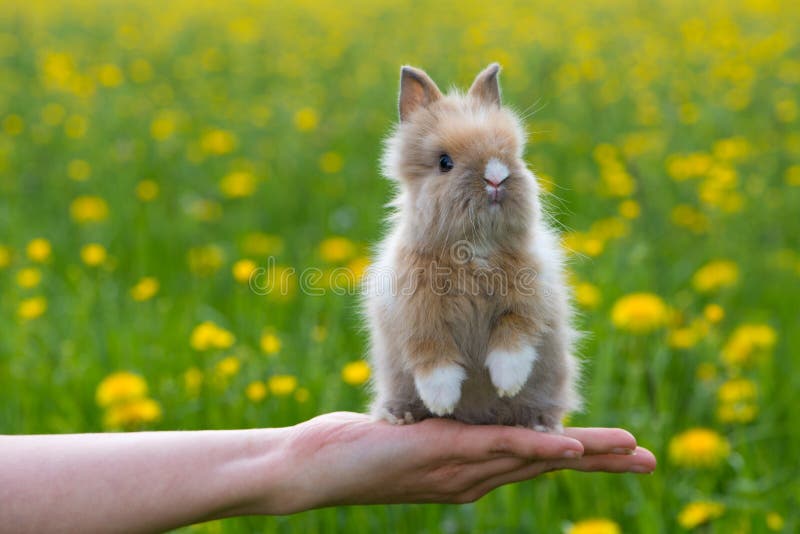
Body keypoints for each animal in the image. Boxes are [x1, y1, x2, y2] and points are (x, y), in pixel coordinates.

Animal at [362, 63, 581, 432]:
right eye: (444, 162)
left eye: (512, 153)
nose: (496, 177)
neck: (474, 248)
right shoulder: (415, 314)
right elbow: (432, 355)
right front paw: (442, 402)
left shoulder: (531, 299)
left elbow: (514, 337)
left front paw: (508, 383)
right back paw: (401, 416)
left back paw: (537, 423)